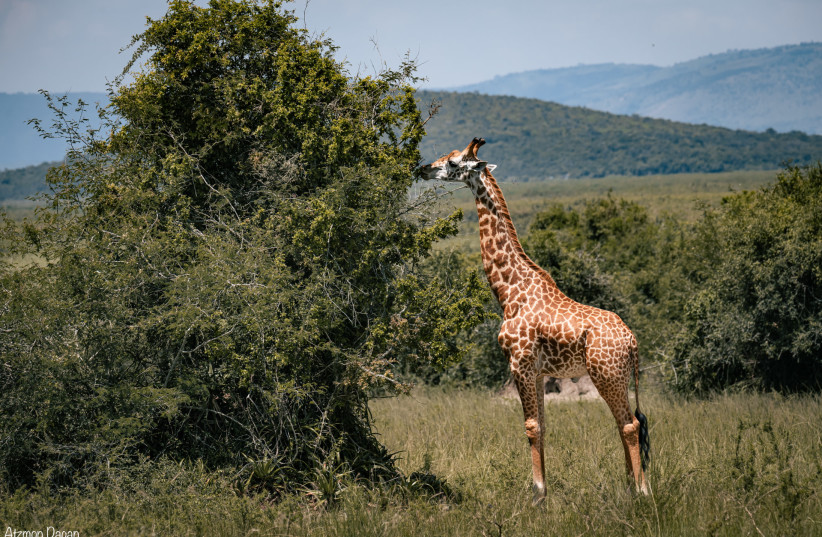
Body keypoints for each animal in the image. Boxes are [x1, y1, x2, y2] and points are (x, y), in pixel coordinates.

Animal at [419, 138, 650, 504]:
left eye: (454, 162)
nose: (423, 169)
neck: (509, 290)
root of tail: (632, 341)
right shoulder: (540, 372)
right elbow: (543, 425)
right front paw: (545, 491)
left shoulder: (520, 363)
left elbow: (530, 426)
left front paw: (537, 494)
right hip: (620, 375)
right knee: (627, 422)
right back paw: (630, 488)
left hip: (605, 373)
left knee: (629, 424)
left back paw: (641, 491)